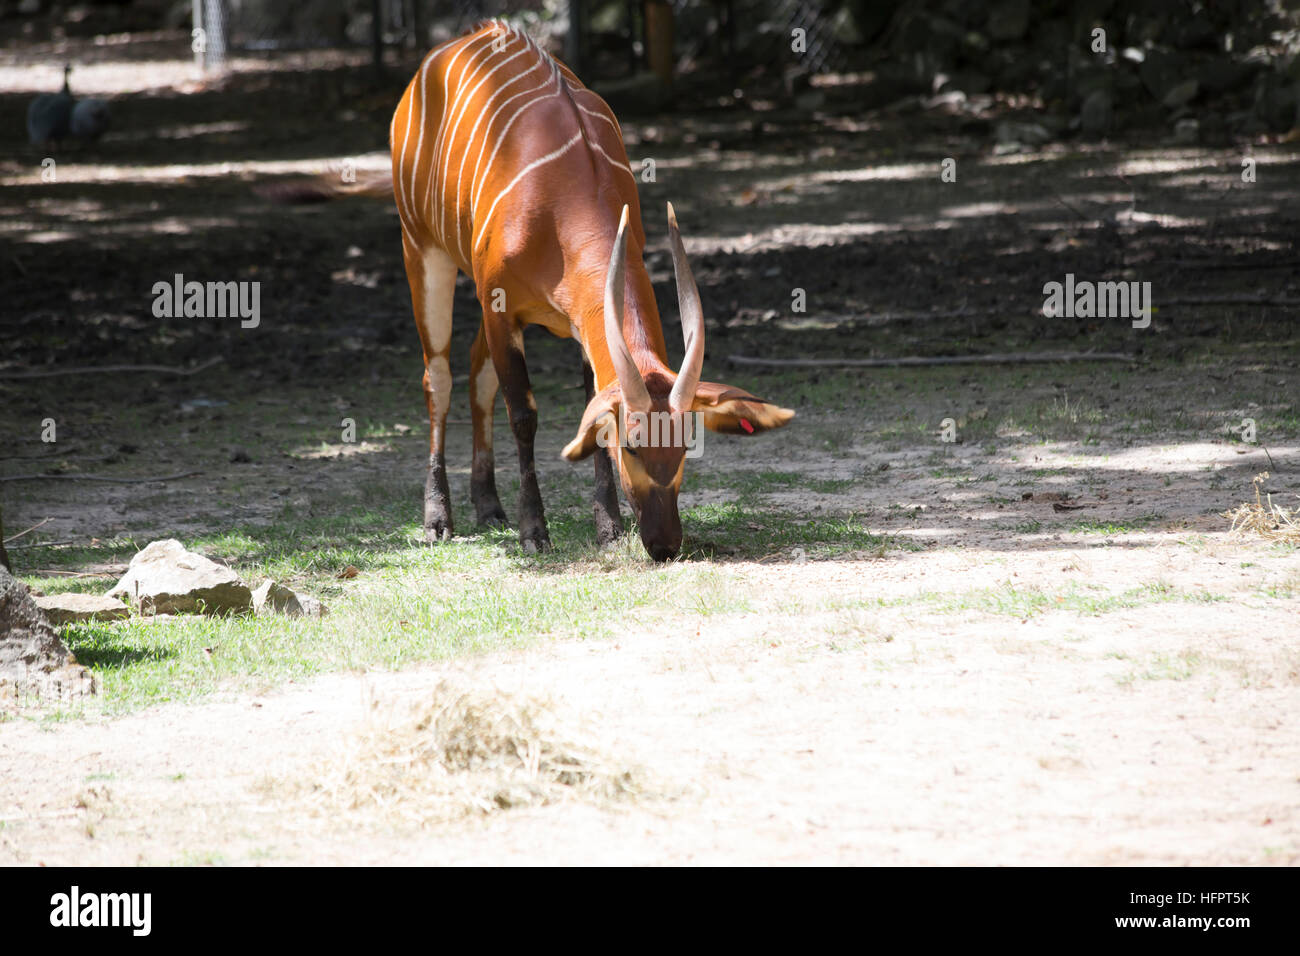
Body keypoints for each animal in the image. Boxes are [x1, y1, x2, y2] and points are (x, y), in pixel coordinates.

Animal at [390, 20, 793, 561]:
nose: (664, 543)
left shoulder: (581, 322)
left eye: (686, 444)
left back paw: (489, 507)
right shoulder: (501, 308)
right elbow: (524, 414)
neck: (566, 196)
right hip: (422, 250)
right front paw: (534, 532)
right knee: (439, 377)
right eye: (634, 444)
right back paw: (439, 519)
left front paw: (608, 528)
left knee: (476, 371)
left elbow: (589, 406)